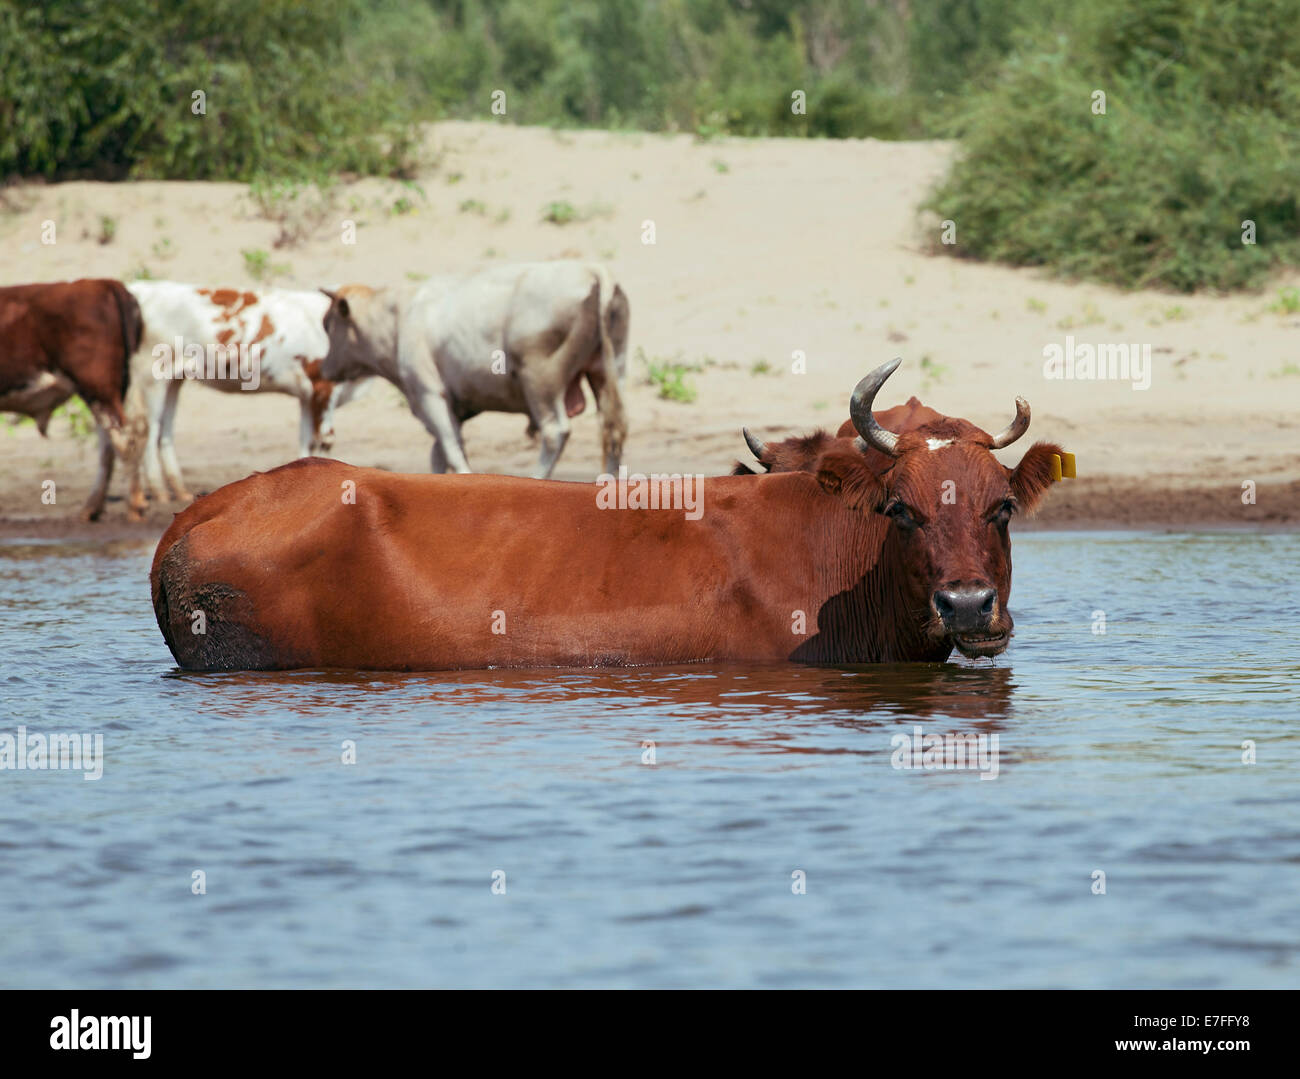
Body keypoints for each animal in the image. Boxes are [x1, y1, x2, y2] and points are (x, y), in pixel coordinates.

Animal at [0, 278, 145, 520]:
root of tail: (103, 283)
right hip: (113, 390)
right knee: (111, 444)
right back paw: (92, 508)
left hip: (98, 388)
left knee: (125, 442)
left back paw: (133, 506)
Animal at [125, 281, 366, 506]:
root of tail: (142, 288)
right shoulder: (323, 387)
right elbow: (324, 440)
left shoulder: (308, 397)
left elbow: (308, 443)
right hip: (153, 379)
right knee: (150, 430)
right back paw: (159, 492)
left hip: (174, 381)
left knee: (165, 430)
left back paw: (179, 490)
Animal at [319, 260, 629, 477]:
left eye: (327, 324)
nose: (324, 368)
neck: (397, 318)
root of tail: (592, 270)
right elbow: (439, 455)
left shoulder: (430, 394)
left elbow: (452, 449)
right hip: (607, 371)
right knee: (614, 429)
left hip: (540, 379)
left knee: (555, 432)